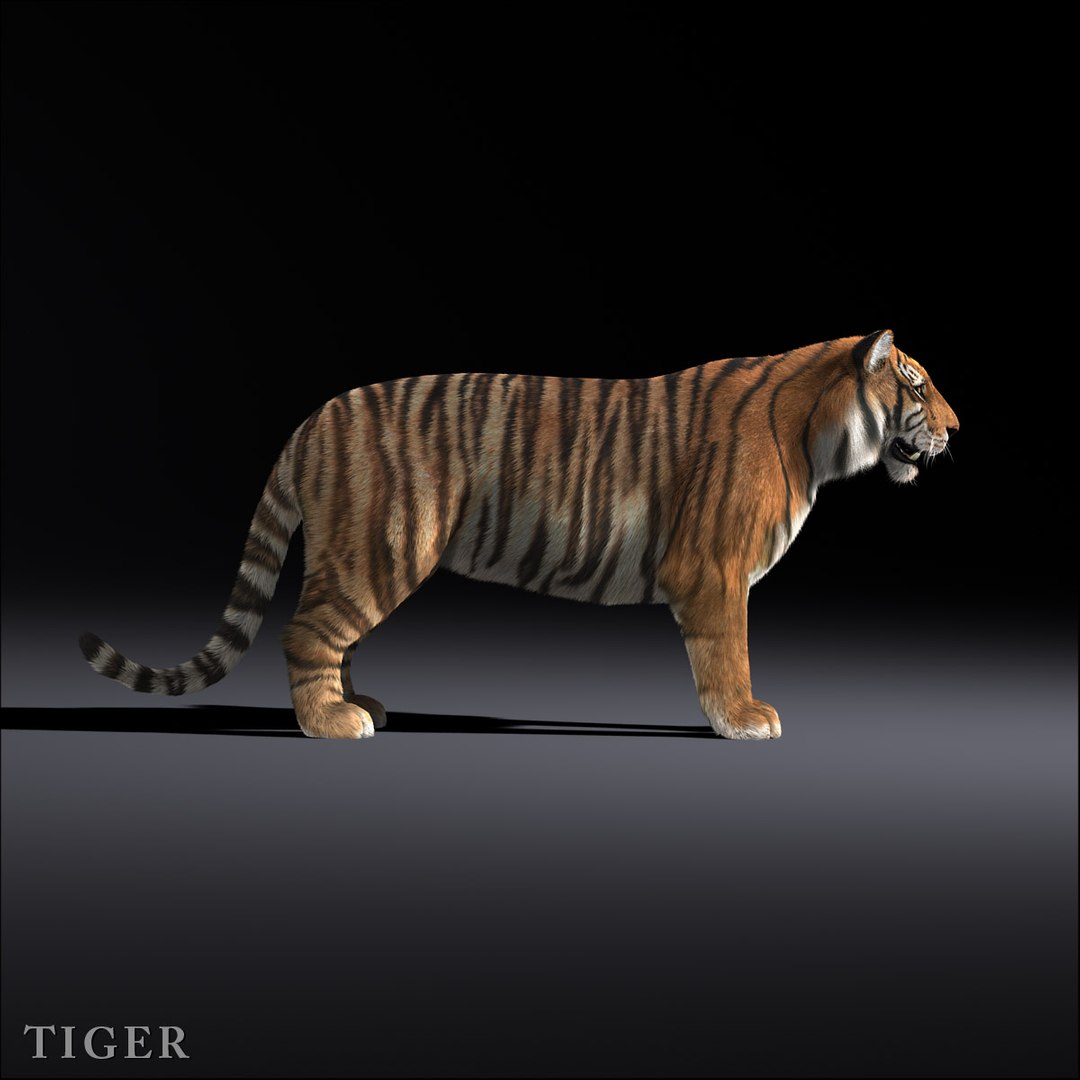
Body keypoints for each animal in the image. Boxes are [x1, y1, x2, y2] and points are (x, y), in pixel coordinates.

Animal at [80, 330, 958, 740]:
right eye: (916, 386)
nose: (957, 428)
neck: (818, 435)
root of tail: (313, 418)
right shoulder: (711, 569)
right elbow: (726, 654)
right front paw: (744, 717)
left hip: (353, 552)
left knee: (329, 635)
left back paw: (357, 702)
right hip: (383, 545)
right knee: (305, 632)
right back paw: (332, 722)